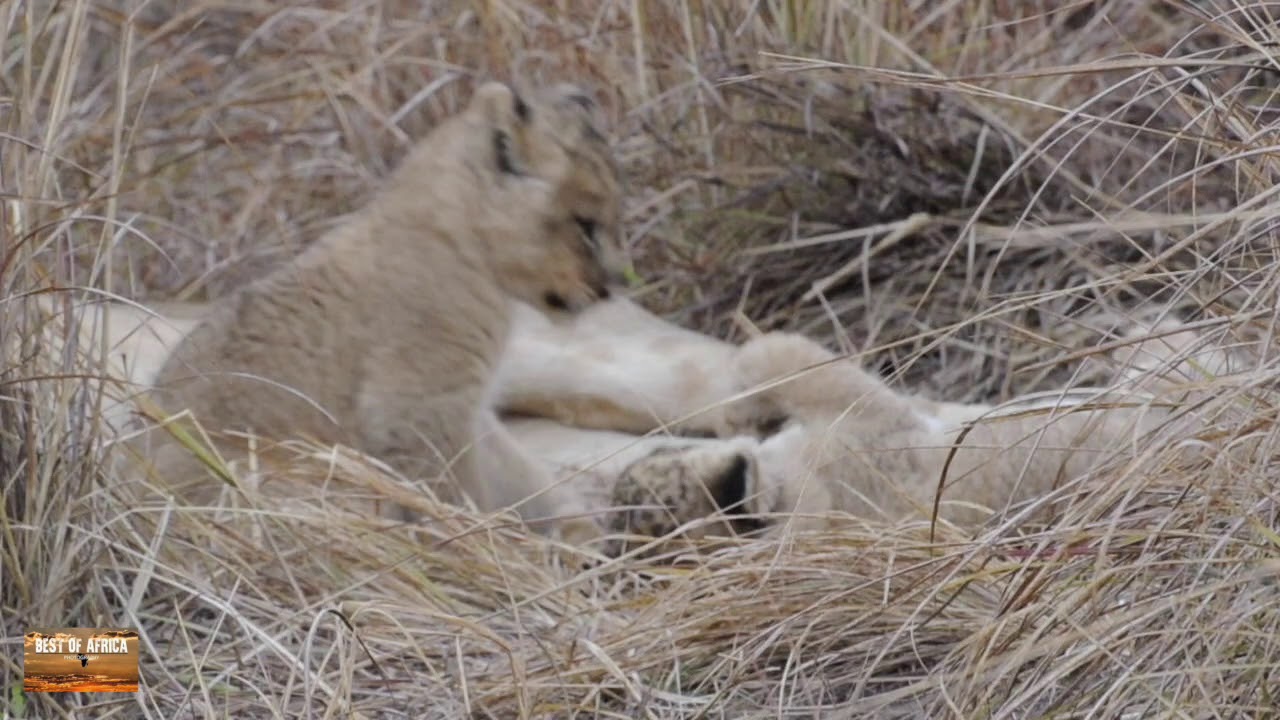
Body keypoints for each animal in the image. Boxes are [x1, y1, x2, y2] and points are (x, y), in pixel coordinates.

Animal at [143, 80, 627, 530]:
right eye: (585, 225)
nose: (607, 290)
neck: (461, 239)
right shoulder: (420, 406)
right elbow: (457, 493)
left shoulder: (469, 407)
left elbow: (514, 472)